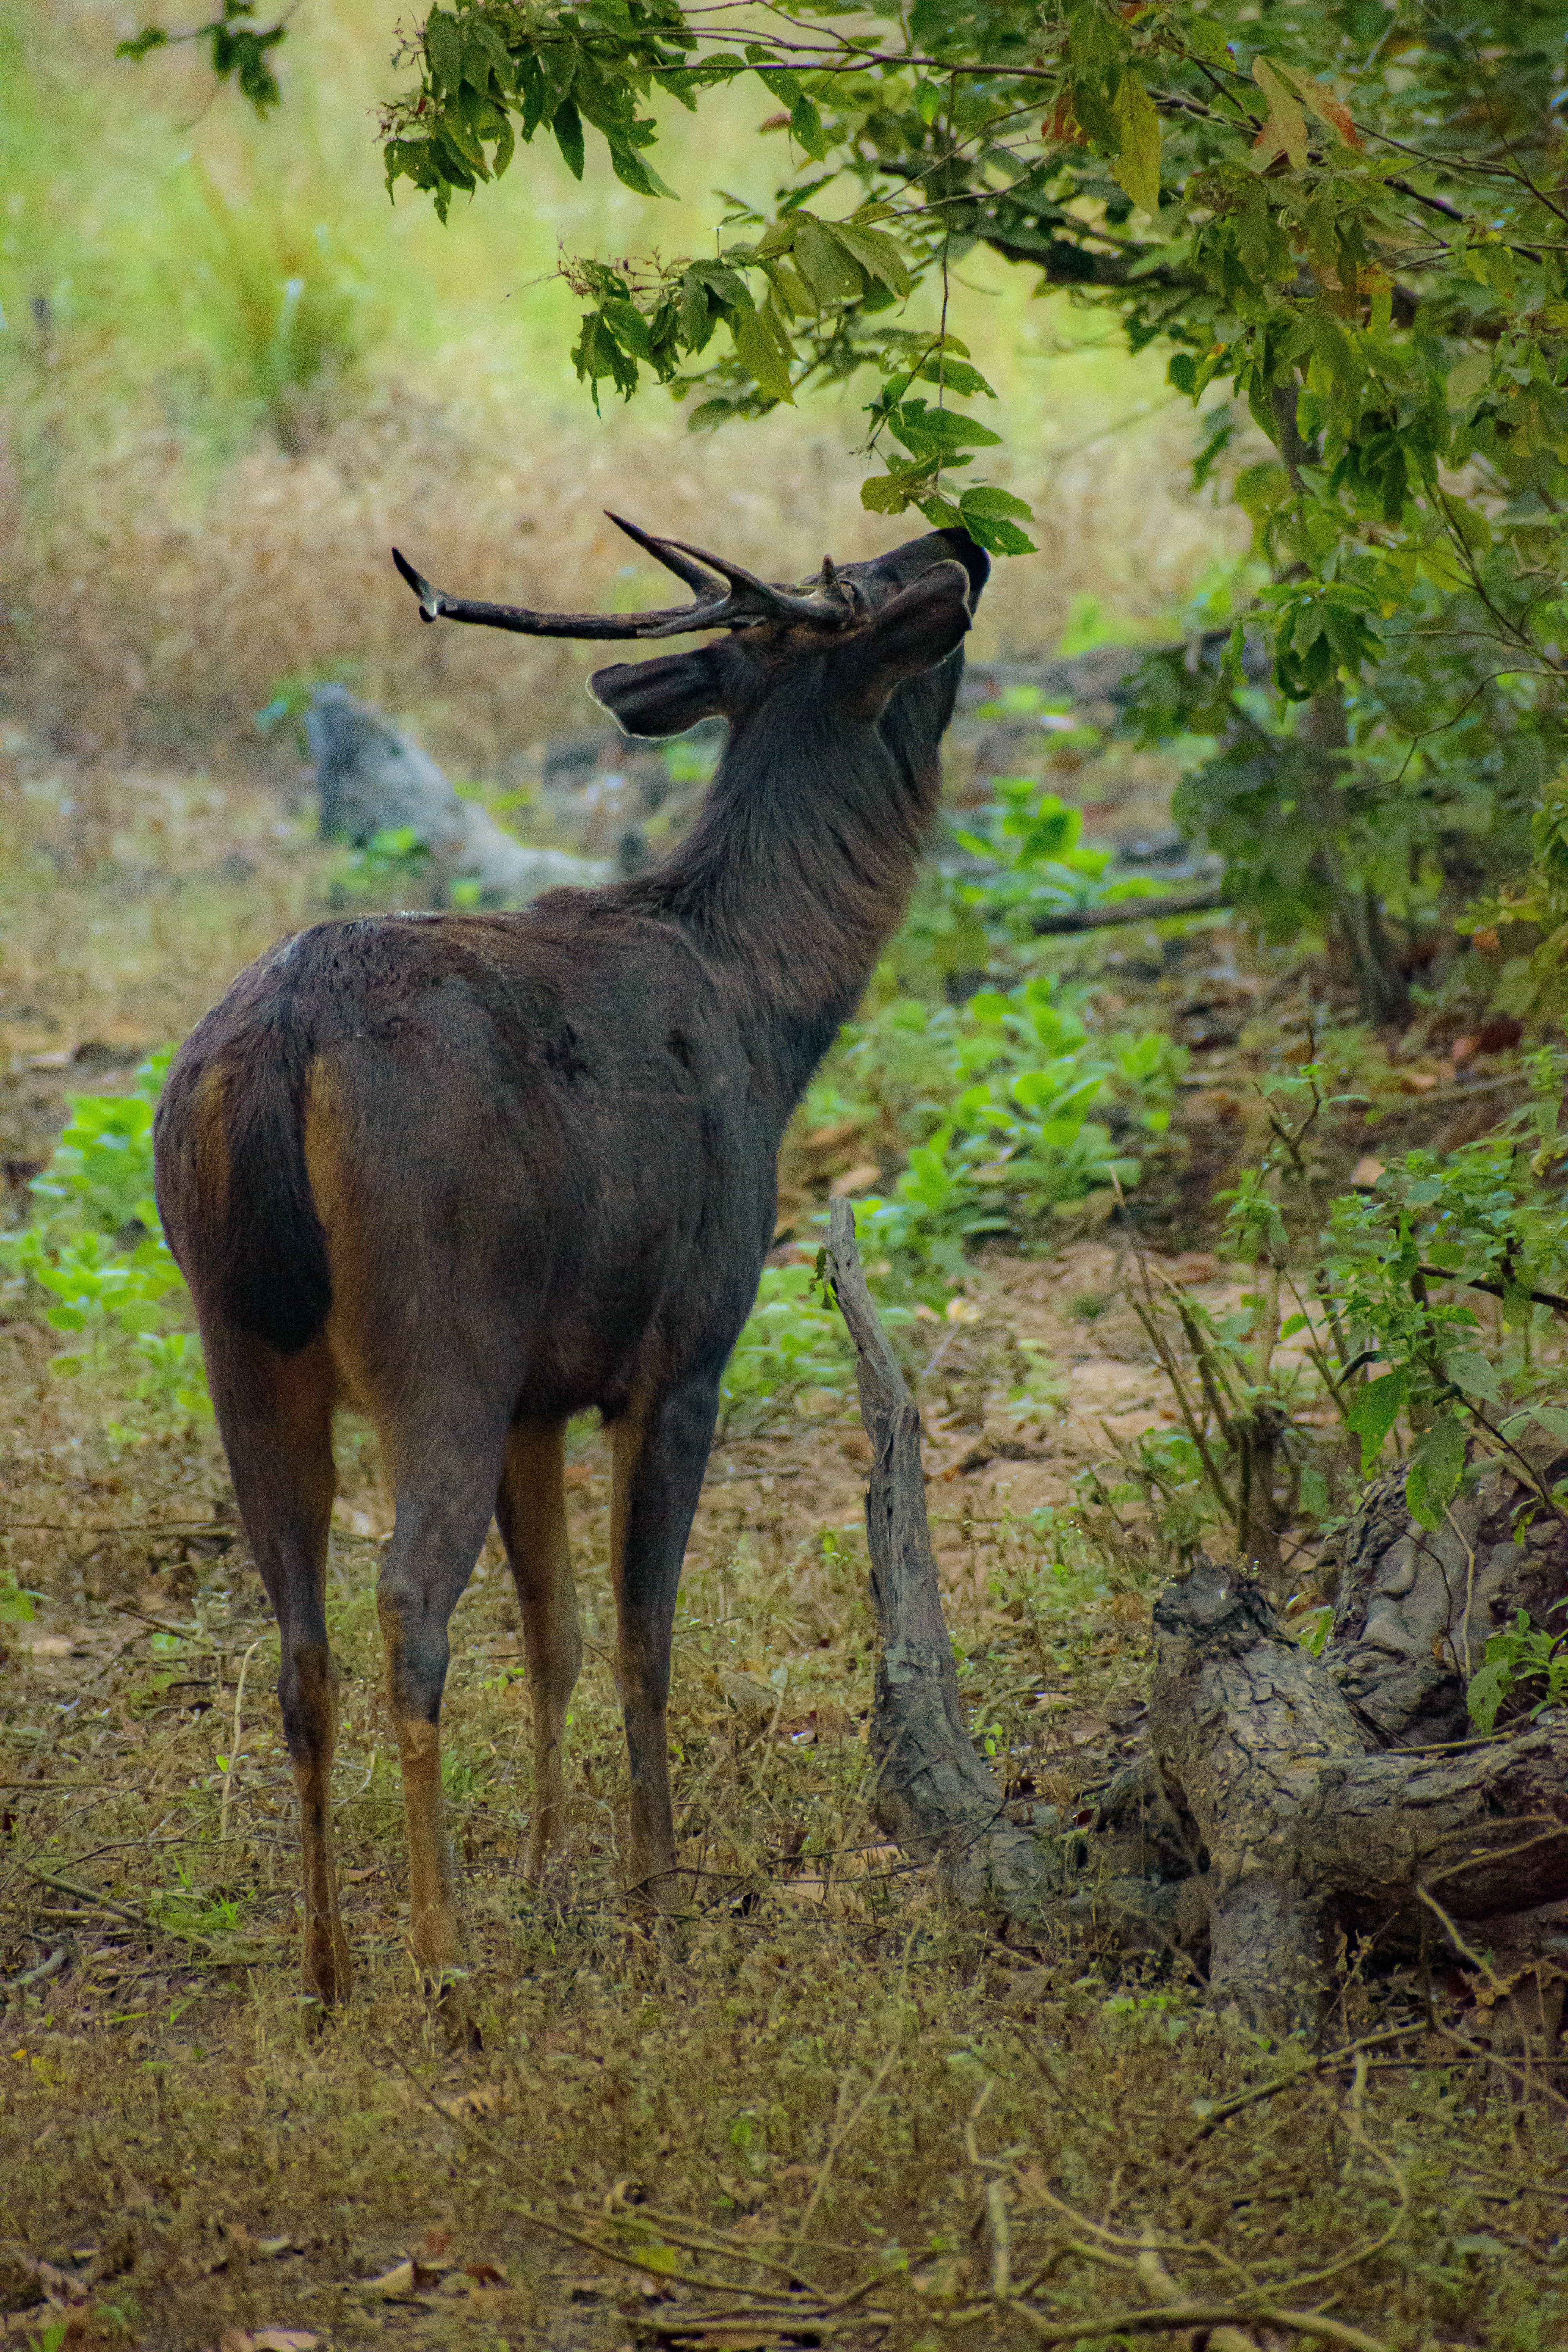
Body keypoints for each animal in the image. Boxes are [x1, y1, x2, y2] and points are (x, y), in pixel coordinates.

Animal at [153, 514, 988, 2038]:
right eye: (883, 590)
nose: (961, 534)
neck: (768, 1013)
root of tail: (284, 1040)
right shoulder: (684, 1349)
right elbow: (643, 1631)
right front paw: (653, 1901)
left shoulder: (544, 1389)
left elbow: (556, 1629)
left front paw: (551, 1877)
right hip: (441, 1329)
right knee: (406, 1607)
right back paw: (443, 1970)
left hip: (240, 1340)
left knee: (301, 1645)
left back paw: (328, 1976)